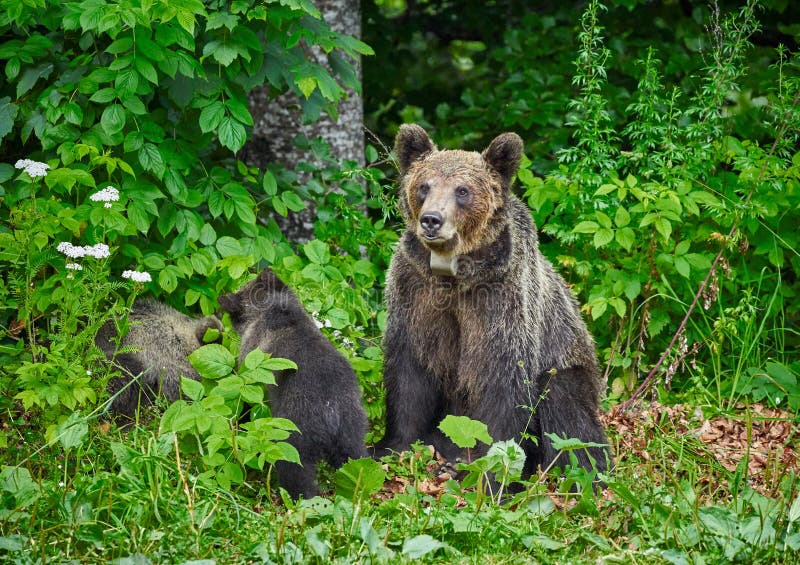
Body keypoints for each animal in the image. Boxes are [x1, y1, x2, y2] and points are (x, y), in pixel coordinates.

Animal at [218, 267, 368, 500]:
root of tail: (331, 412)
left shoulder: (251, 362)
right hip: (352, 430)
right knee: (356, 462)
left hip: (293, 434)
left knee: (295, 470)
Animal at [374, 124, 610, 484]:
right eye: (424, 186)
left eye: (462, 190)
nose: (431, 220)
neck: (453, 276)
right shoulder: (415, 292)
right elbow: (409, 374)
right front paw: (390, 447)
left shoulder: (500, 302)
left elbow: (503, 383)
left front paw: (496, 472)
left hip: (569, 362)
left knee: (568, 414)